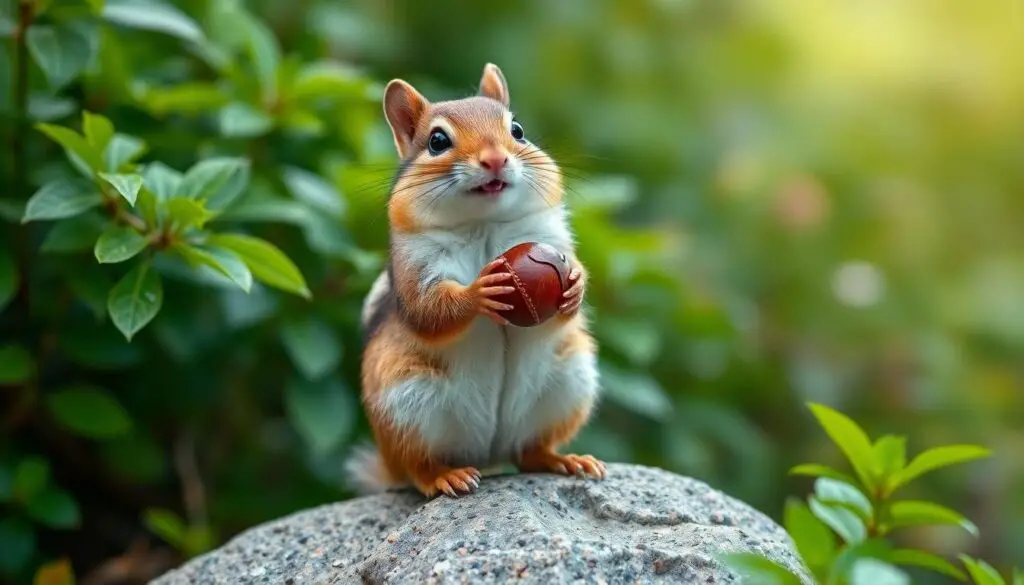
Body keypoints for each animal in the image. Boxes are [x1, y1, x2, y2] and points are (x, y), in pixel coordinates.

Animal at [345, 63, 605, 498]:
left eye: (517, 129)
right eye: (437, 141)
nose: (496, 158)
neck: (484, 224)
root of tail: (487, 454)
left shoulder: (550, 236)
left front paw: (576, 284)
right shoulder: (416, 266)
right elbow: (428, 310)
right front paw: (478, 293)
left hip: (570, 380)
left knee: (529, 453)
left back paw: (565, 460)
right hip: (407, 404)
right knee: (417, 467)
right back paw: (444, 476)